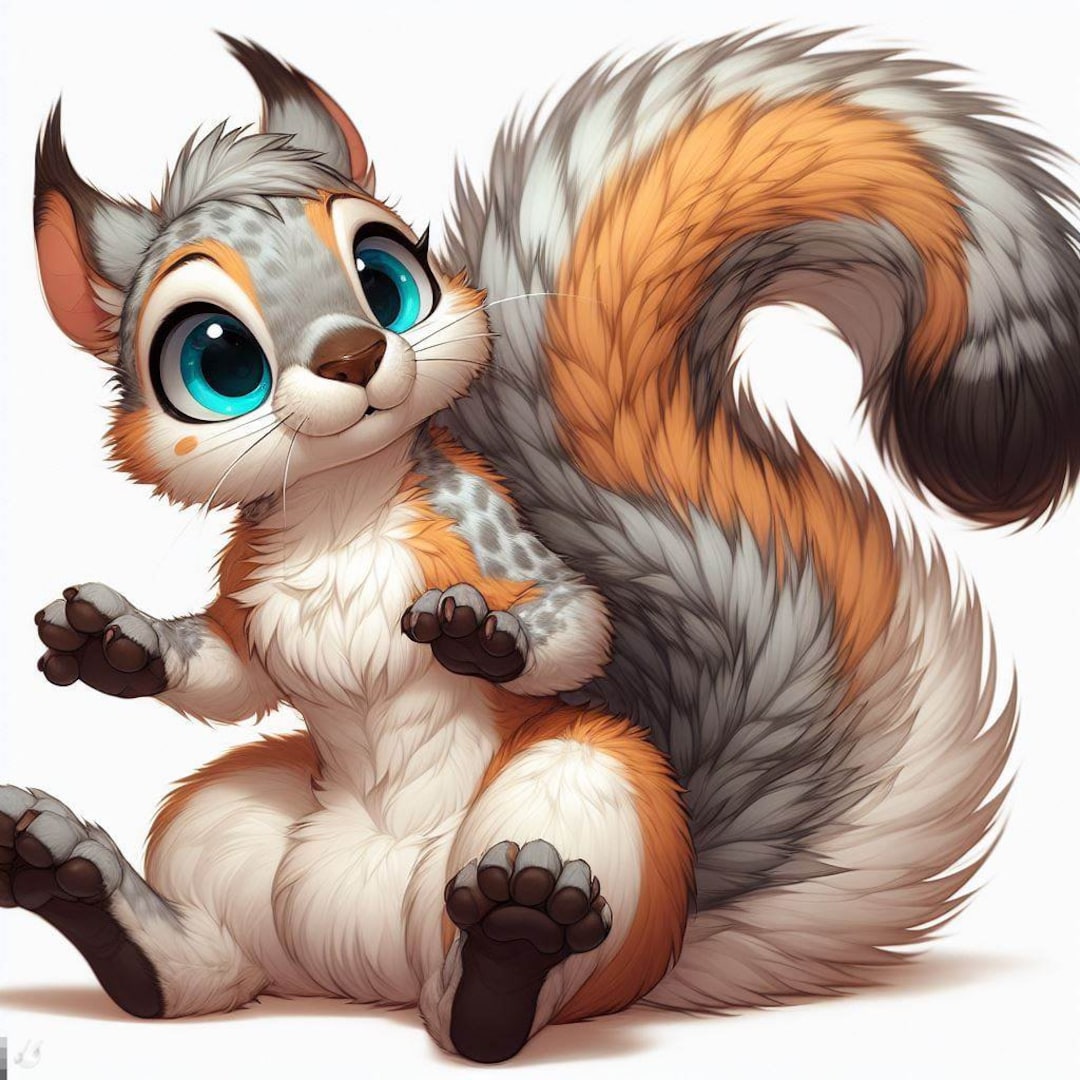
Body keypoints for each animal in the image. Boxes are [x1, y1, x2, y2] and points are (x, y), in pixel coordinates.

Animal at [5, 29, 1079, 1064]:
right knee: (212, 967)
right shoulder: (251, 583)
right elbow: (231, 671)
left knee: (497, 1003)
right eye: (216, 358)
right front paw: (115, 643)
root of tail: (363, 969)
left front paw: (488, 640)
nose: (356, 357)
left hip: (580, 793)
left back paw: (509, 951)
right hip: (222, 829)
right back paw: (75, 889)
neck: (341, 505)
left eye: (386, 278)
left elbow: (579, 618)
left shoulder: (484, 529)